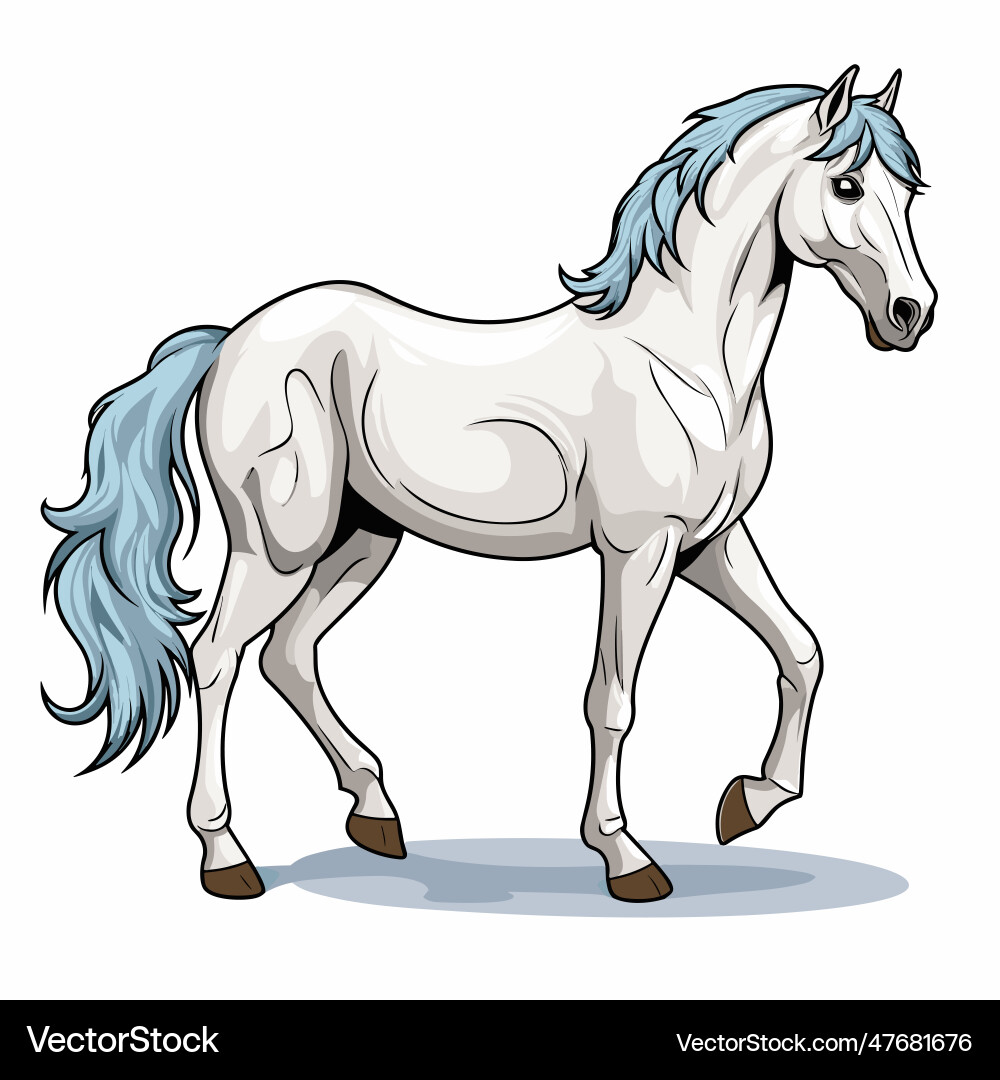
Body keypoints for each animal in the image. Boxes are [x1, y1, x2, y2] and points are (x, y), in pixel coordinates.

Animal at [42, 66, 935, 903]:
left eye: (909, 191)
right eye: (848, 184)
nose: (911, 314)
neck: (686, 363)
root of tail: (230, 340)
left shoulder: (708, 545)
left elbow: (802, 650)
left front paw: (747, 803)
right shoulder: (637, 549)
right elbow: (612, 698)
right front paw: (626, 858)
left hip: (363, 540)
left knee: (288, 655)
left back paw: (377, 815)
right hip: (278, 547)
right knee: (216, 659)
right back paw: (227, 857)